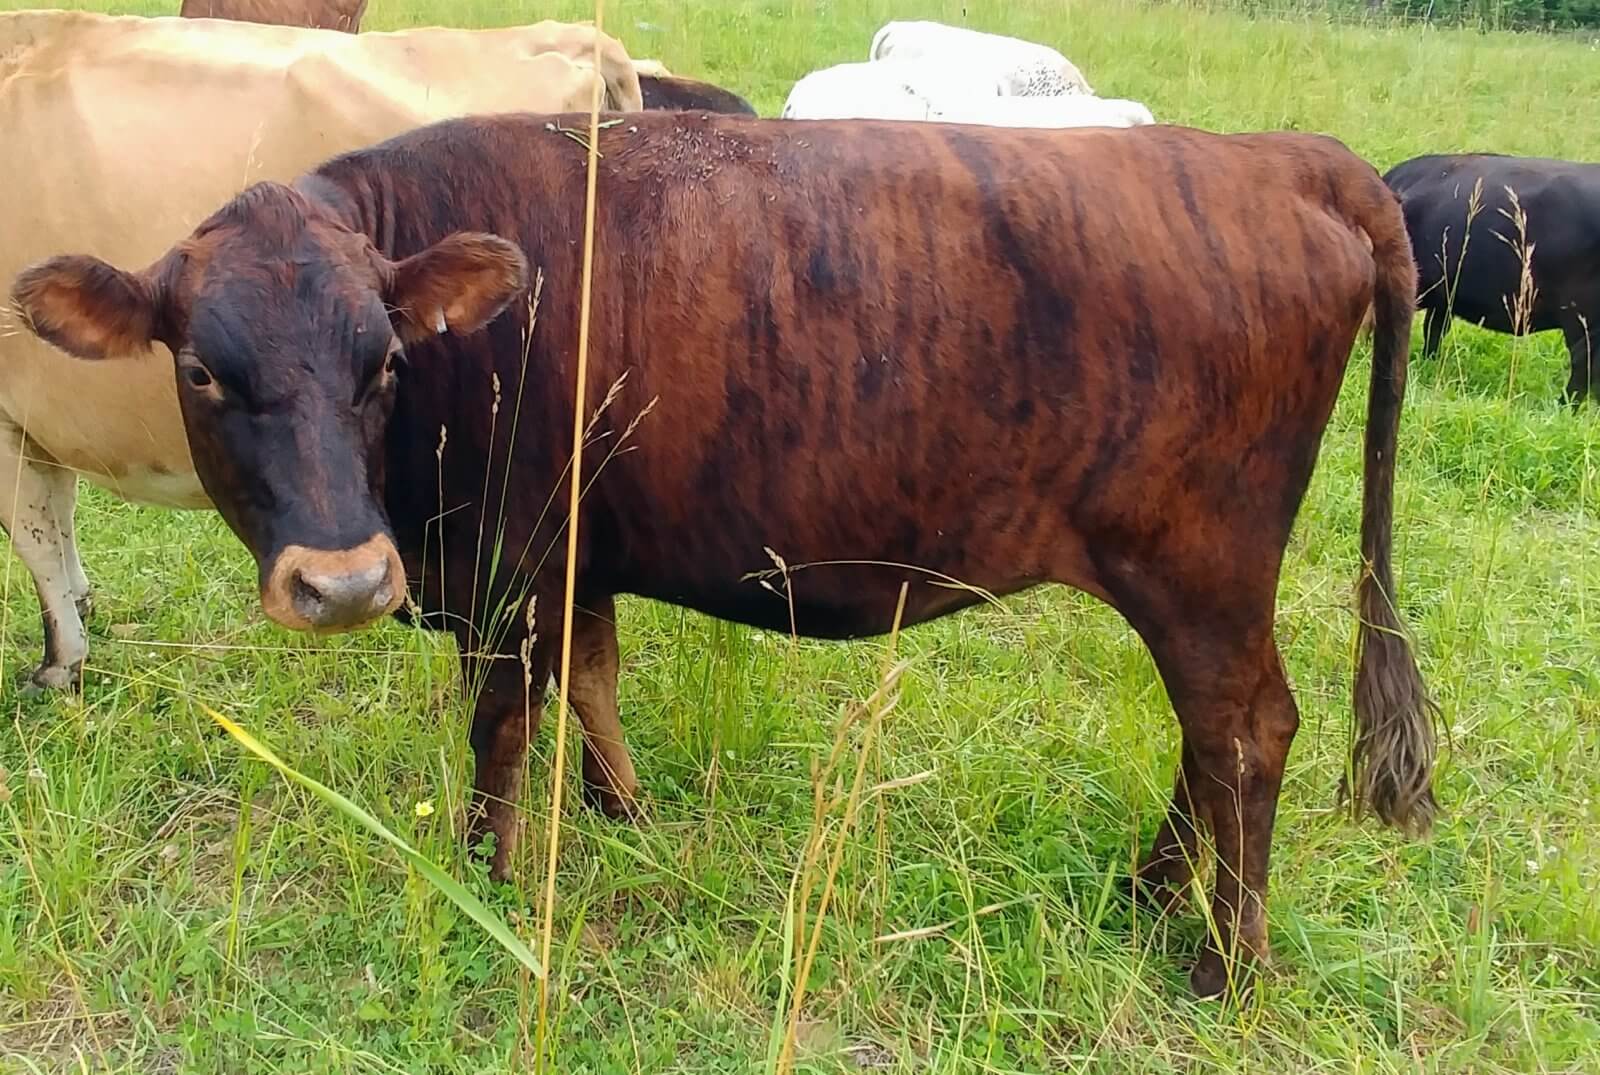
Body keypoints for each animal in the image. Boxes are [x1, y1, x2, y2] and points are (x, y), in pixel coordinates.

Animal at [0, 9, 644, 692]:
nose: (344, 587)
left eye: (390, 358)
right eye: (198, 372)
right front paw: (81, 608)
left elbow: (35, 537)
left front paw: (61, 662)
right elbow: (59, 517)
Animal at [12, 112, 1438, 998]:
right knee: (1210, 739)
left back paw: (1220, 963)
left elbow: (500, 727)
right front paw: (625, 810)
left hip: (1200, 568)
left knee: (1246, 733)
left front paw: (489, 875)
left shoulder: (508, 566)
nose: (345, 581)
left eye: (385, 361)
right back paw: (1145, 892)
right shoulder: (579, 555)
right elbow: (593, 680)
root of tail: (1287, 160)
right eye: (202, 367)